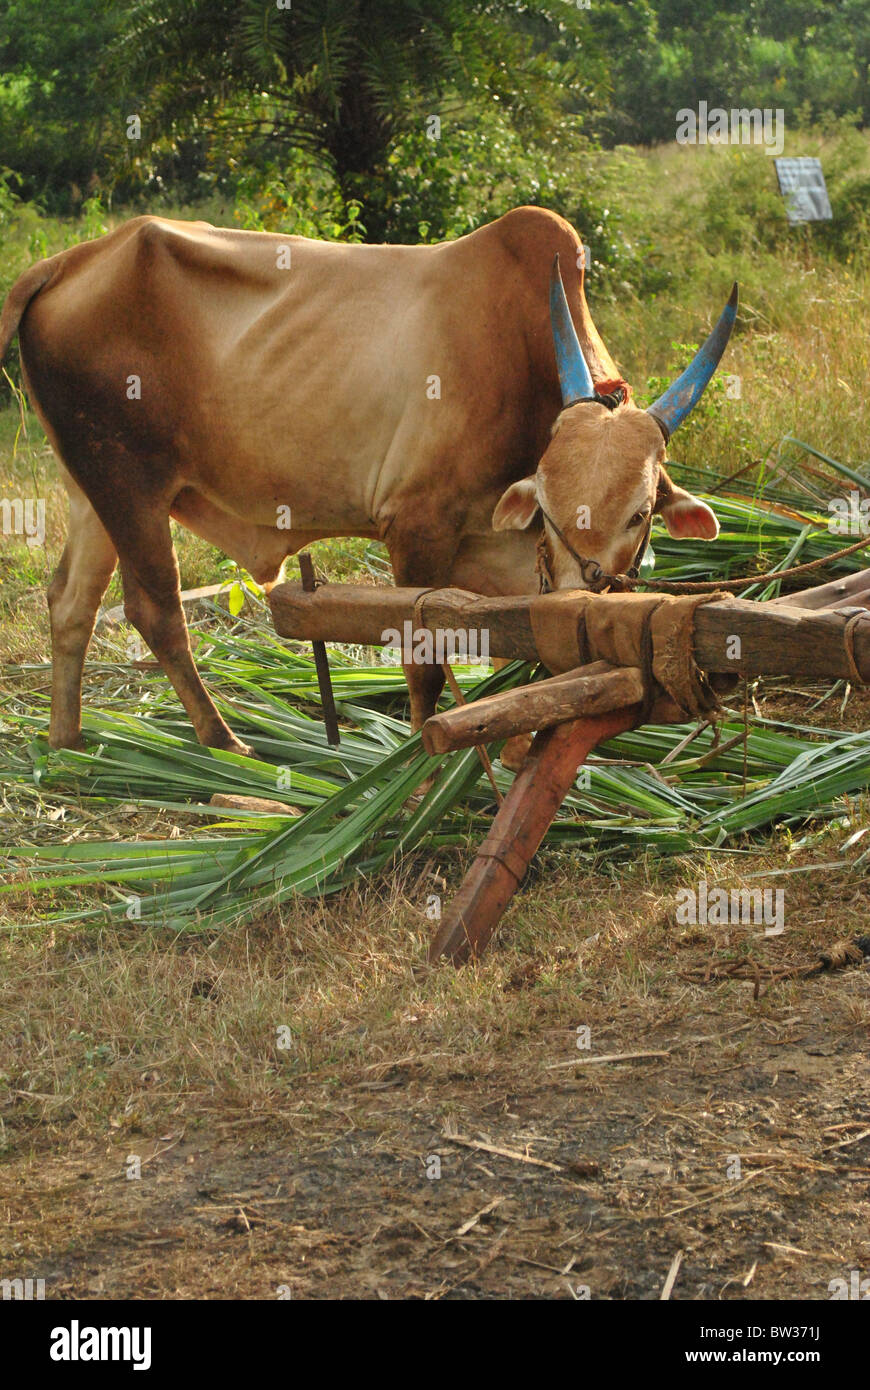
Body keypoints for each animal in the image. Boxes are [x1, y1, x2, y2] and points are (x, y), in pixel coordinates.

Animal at [0, 206, 734, 763]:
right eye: (549, 506)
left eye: (639, 514)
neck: (524, 352)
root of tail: (67, 262)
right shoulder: (416, 527)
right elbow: (425, 665)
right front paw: (420, 765)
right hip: (131, 486)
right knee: (156, 612)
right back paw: (223, 742)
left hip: (92, 489)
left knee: (70, 602)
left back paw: (66, 745)